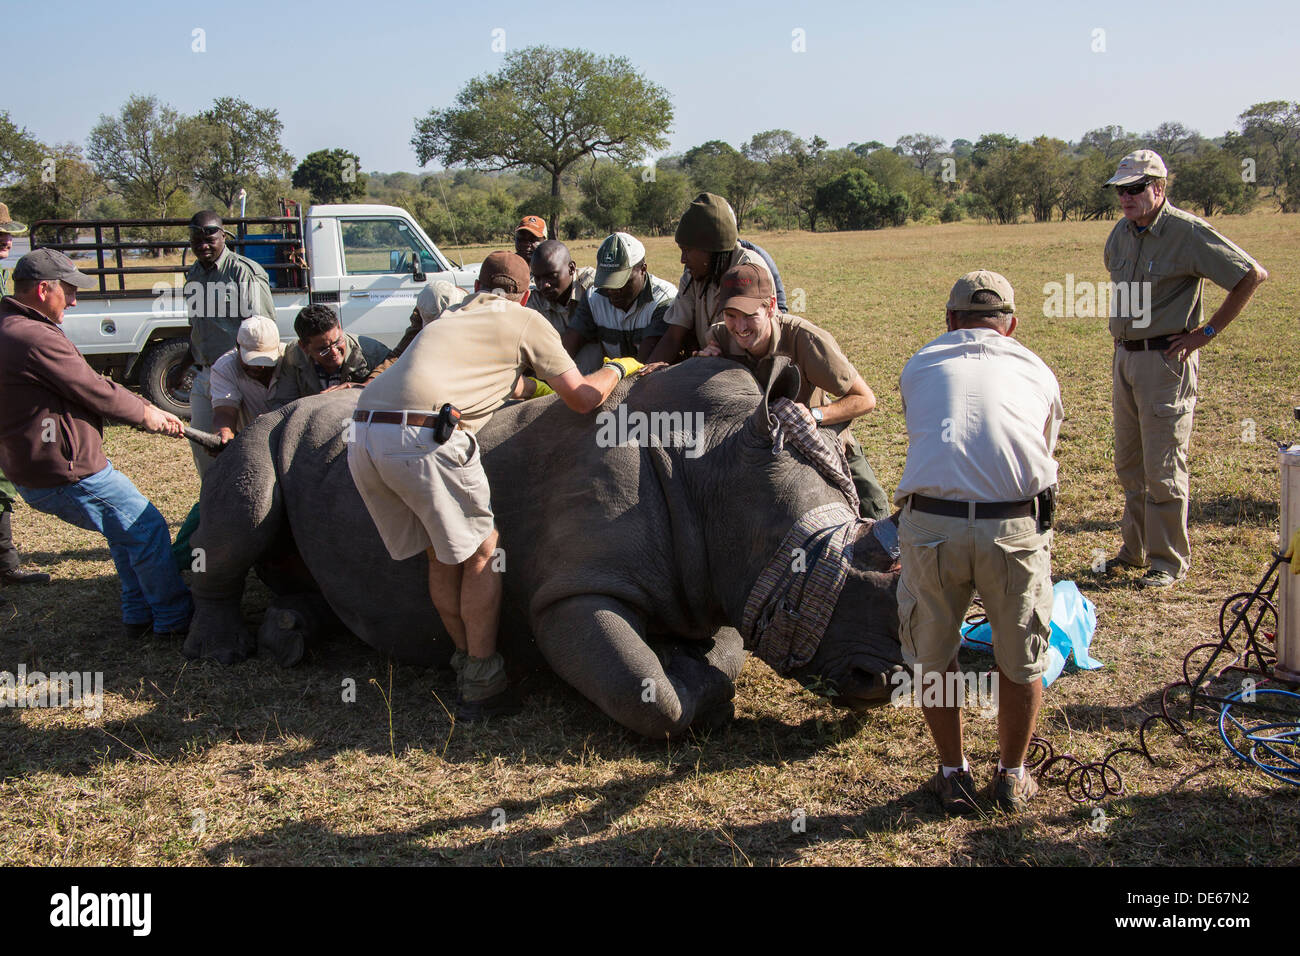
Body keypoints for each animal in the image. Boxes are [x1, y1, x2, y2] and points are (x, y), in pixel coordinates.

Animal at [184, 357, 905, 738]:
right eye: (806, 567)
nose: (887, 680)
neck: (715, 465)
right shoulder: (571, 592)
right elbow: (647, 693)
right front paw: (691, 683)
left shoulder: (715, 583)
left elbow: (721, 651)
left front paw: (699, 668)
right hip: (265, 433)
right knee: (244, 506)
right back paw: (225, 652)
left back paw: (289, 638)